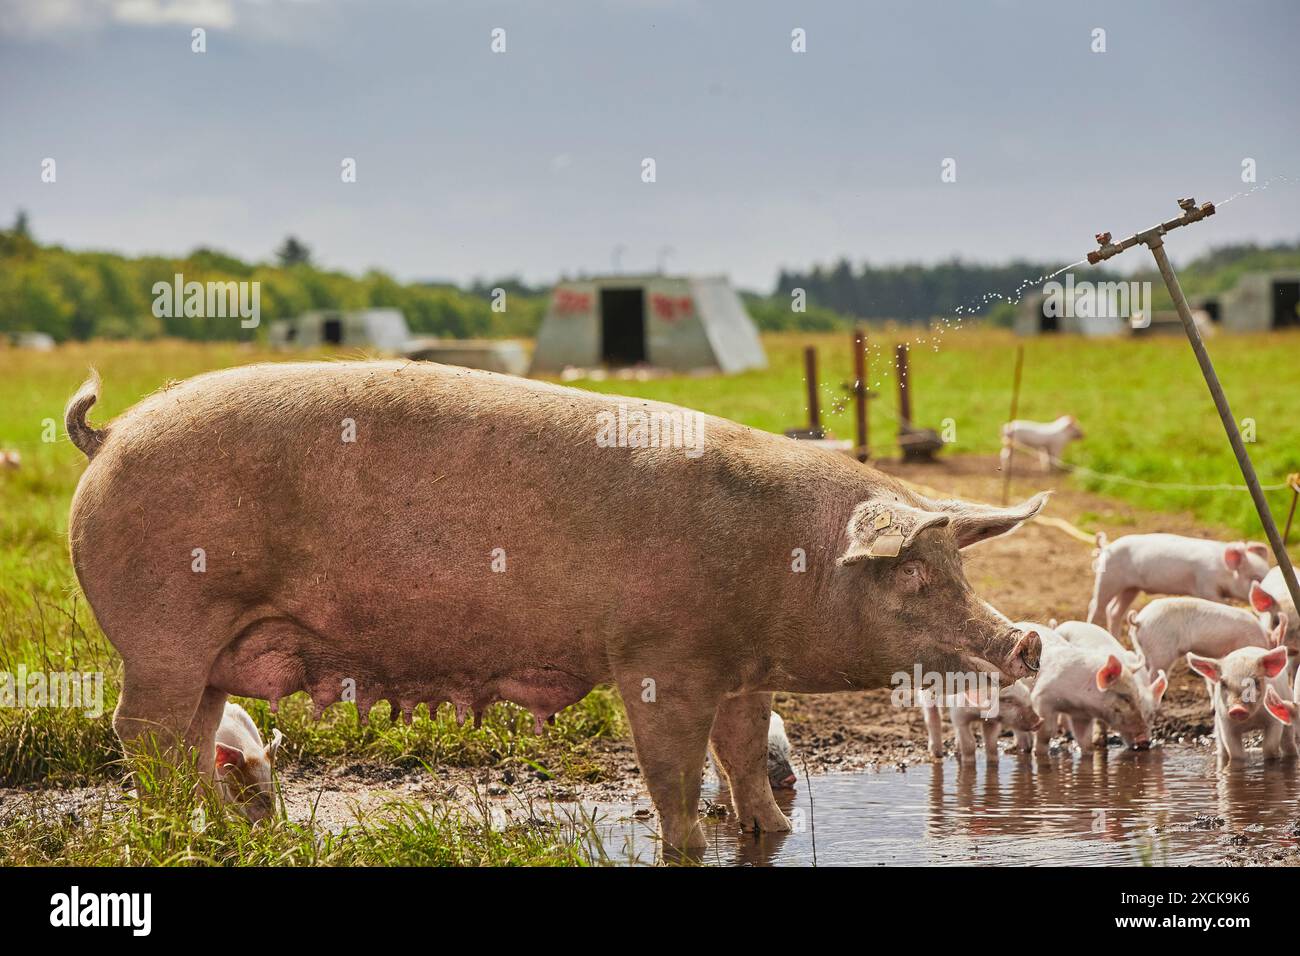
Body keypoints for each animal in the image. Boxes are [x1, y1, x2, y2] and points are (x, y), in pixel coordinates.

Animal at [65, 362, 1045, 853]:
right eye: (913, 579)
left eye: (956, 567)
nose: (1027, 641)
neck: (782, 562)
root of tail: (106, 436)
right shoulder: (657, 659)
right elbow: (671, 765)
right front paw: (688, 846)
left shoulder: (743, 672)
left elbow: (739, 752)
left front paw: (770, 831)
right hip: (164, 627)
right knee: (142, 729)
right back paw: (180, 828)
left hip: (206, 647)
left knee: (192, 735)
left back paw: (220, 827)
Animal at [1087, 532, 1271, 636]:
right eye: (1255, 577)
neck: (1223, 570)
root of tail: (1107, 546)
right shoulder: (1206, 586)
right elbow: (1219, 602)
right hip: (1107, 580)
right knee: (1096, 606)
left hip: (1131, 588)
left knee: (1113, 611)